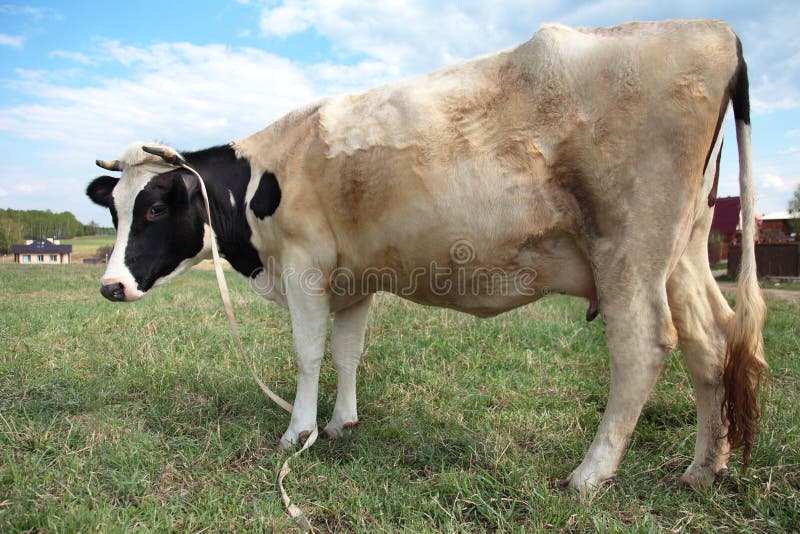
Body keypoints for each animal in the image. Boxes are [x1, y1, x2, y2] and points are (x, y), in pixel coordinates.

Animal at [87, 19, 766, 494]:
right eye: (113, 210)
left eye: (154, 208)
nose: (111, 286)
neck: (262, 175)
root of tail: (714, 30)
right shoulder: (353, 280)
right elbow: (347, 352)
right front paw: (341, 423)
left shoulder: (305, 266)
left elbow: (308, 355)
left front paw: (296, 433)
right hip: (684, 250)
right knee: (712, 340)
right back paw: (704, 468)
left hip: (629, 248)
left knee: (644, 346)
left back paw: (590, 474)